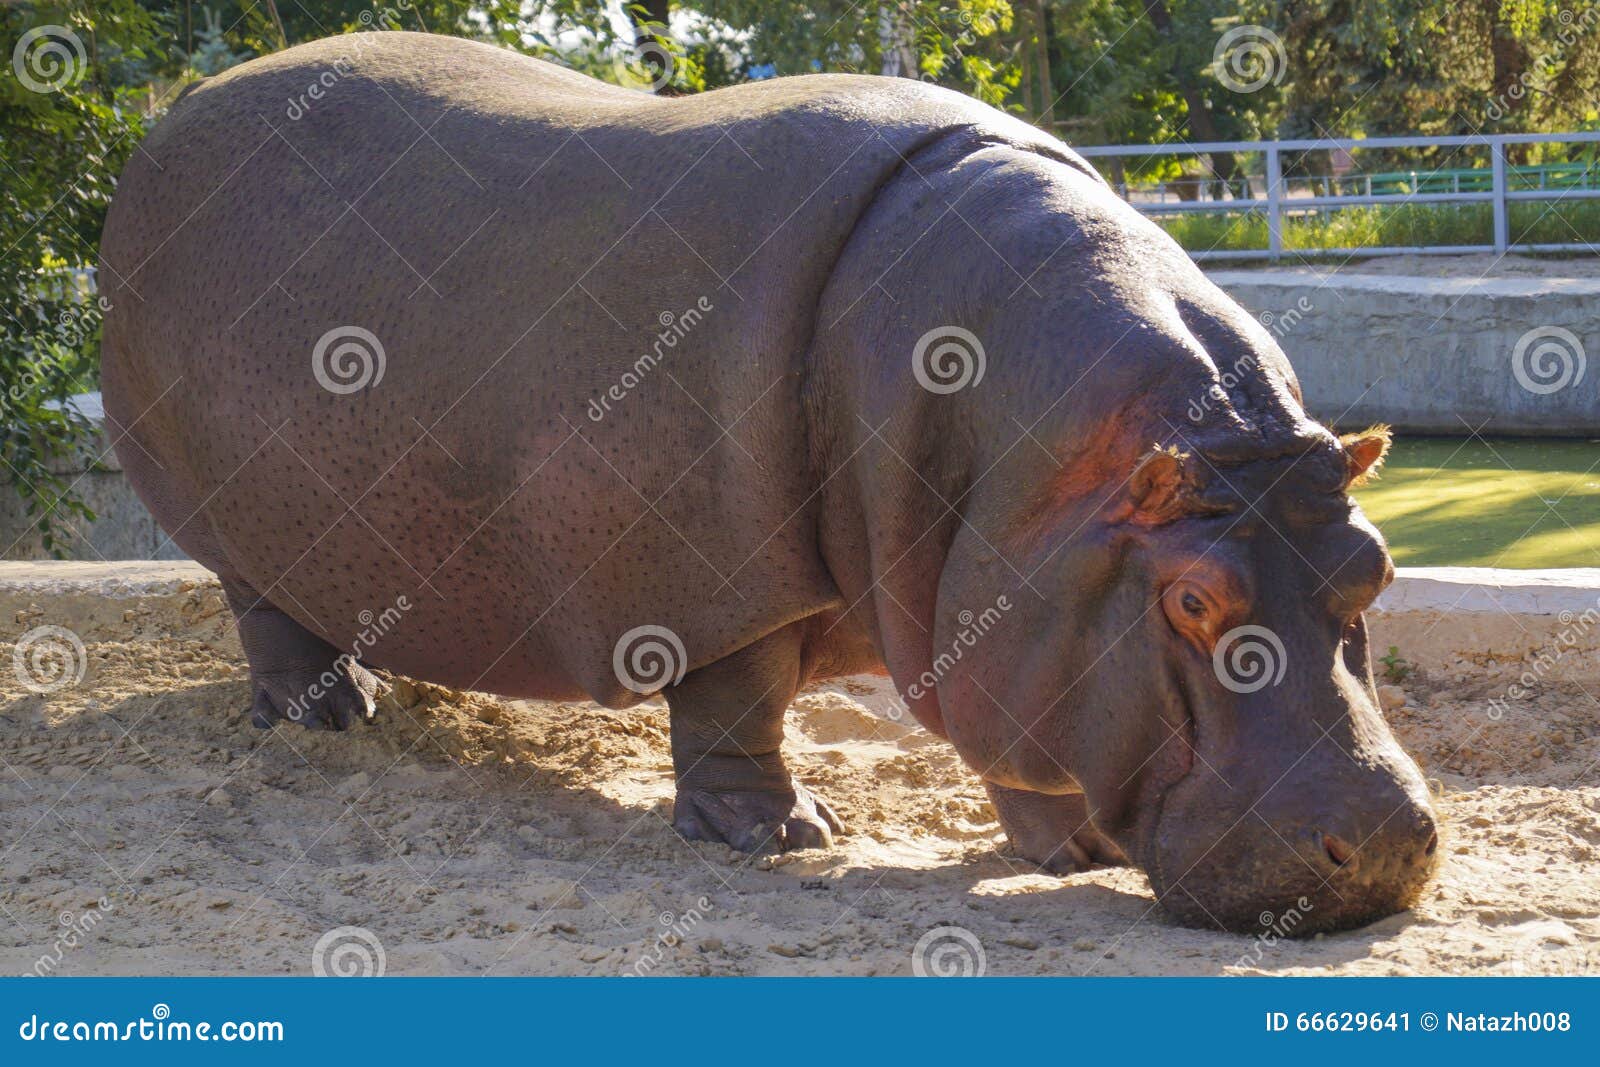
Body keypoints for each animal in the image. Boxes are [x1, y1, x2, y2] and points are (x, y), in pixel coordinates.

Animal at [99, 31, 1437, 933]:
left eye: (1372, 567)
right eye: (1193, 600)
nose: (1382, 847)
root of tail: (172, 121)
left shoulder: (995, 592)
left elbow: (1017, 718)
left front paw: (1065, 853)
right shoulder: (733, 579)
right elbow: (736, 701)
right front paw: (784, 838)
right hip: (226, 526)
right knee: (269, 620)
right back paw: (330, 722)